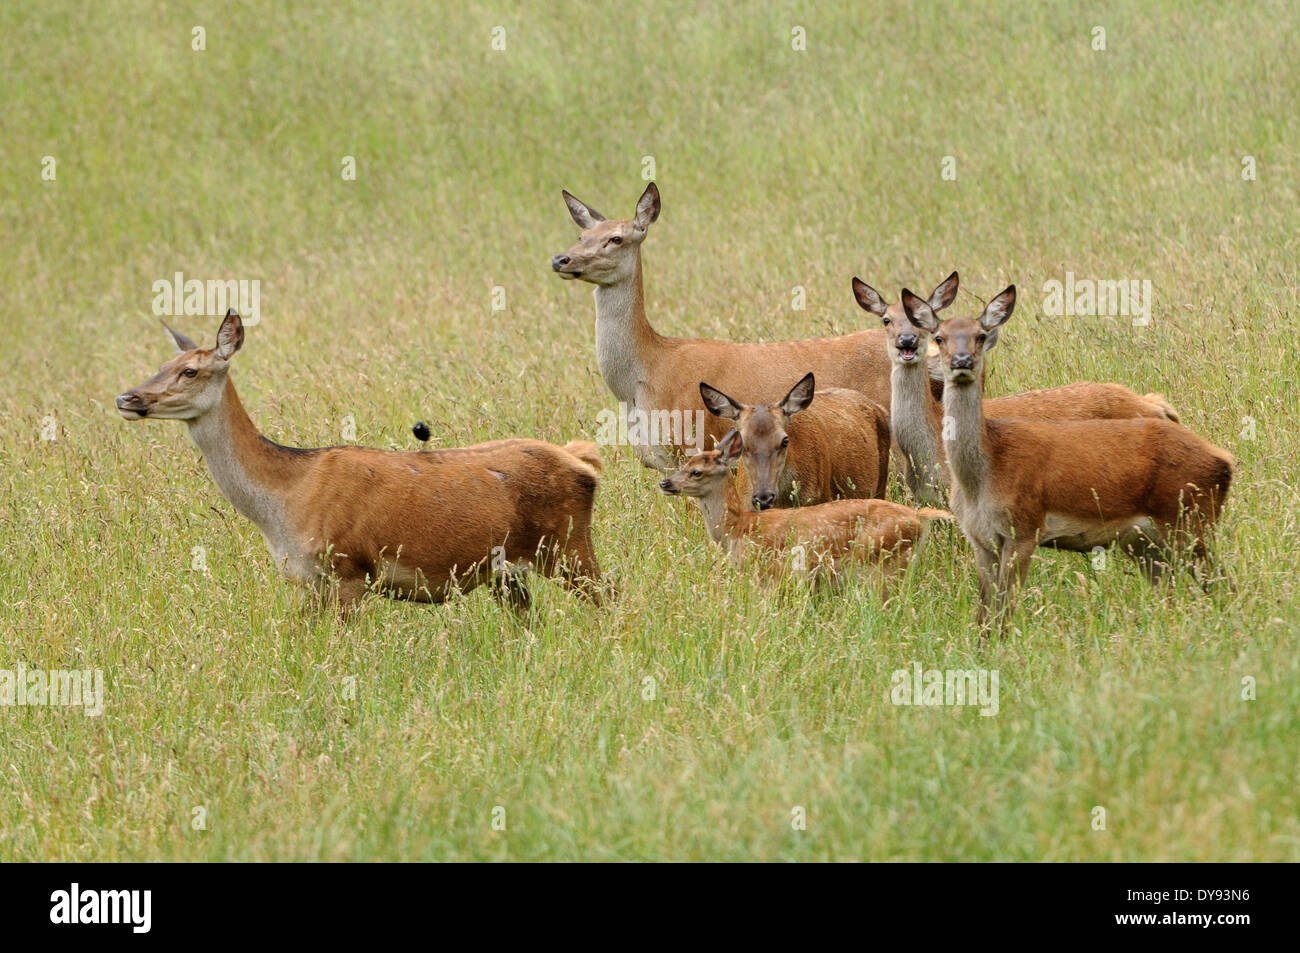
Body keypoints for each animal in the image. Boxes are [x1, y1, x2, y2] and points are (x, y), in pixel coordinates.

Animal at [115, 310, 606, 613]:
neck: (284, 500)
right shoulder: (309, 580)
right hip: (511, 573)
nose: (127, 398)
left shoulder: (348, 569)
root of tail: (583, 461)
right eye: (162, 363)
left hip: (570, 547)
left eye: (190, 371)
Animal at [659, 430, 952, 595]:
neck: (737, 528)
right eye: (685, 463)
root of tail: (919, 517)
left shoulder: (768, 573)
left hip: (881, 561)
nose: (665, 483)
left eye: (696, 472)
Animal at [902, 285, 1233, 629]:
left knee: (1225, 585)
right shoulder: (980, 539)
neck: (984, 475)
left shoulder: (1025, 528)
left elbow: (1007, 613)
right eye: (939, 337)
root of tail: (1225, 462)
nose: (962, 360)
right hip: (1147, 542)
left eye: (980, 335)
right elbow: (985, 618)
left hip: (1191, 522)